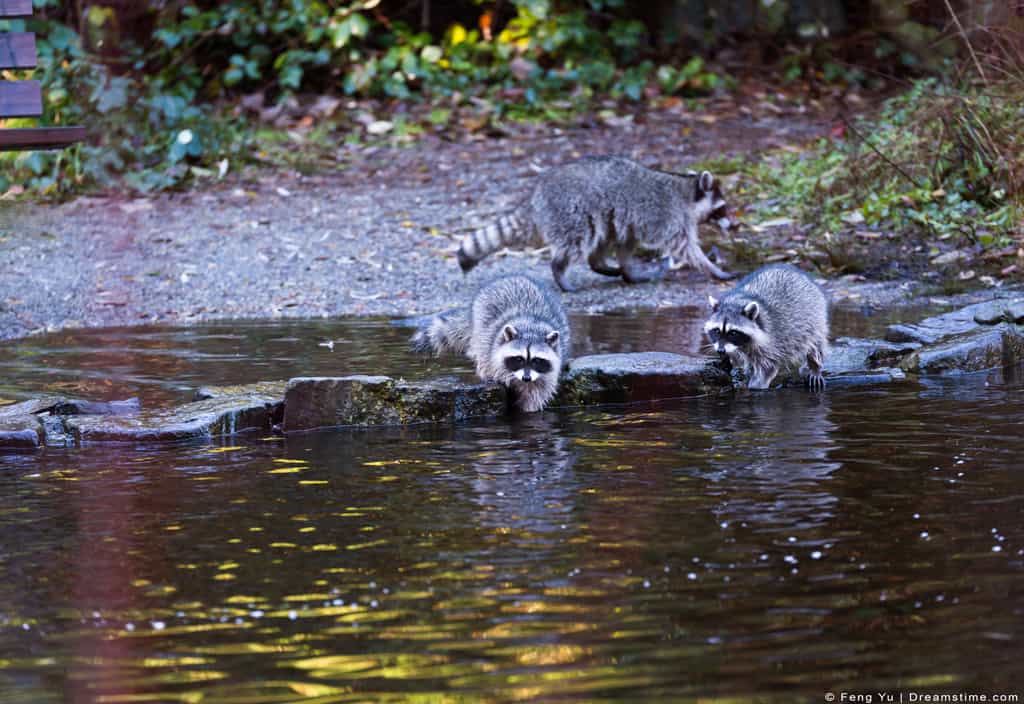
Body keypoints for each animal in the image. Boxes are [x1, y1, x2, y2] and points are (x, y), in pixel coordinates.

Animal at [411, 275, 570, 412]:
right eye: (519, 359)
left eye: (537, 360)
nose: (526, 378)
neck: (531, 327)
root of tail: (513, 277)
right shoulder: (491, 342)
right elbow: (492, 361)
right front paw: (501, 375)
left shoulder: (546, 374)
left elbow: (536, 395)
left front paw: (528, 410)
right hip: (480, 318)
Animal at [456, 155, 733, 292]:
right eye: (722, 207)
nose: (732, 225)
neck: (687, 190)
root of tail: (538, 193)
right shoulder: (670, 217)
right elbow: (684, 247)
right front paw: (712, 268)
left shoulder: (637, 221)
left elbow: (627, 243)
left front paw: (629, 270)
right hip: (571, 210)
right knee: (578, 241)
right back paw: (560, 271)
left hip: (603, 214)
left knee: (606, 239)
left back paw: (608, 267)